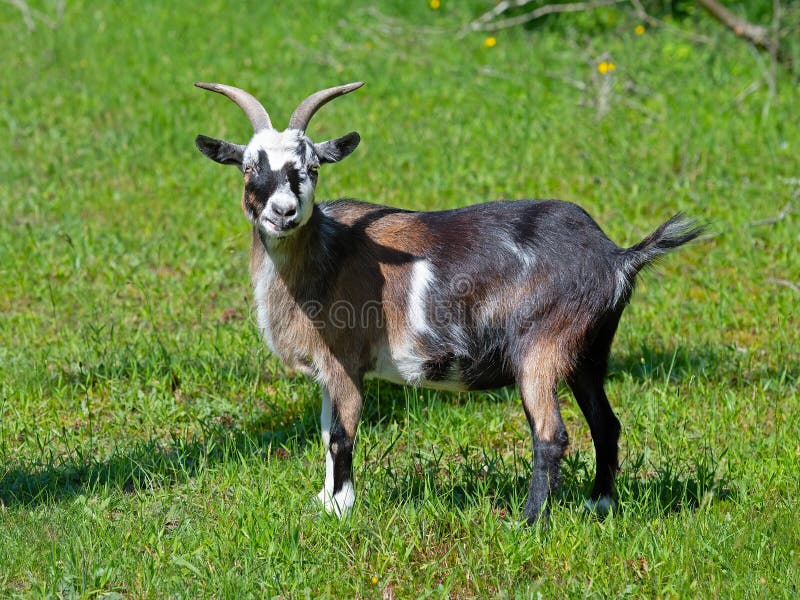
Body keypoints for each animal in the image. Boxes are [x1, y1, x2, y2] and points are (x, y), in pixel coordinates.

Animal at [194, 81, 704, 524]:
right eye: (248, 167)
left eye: (312, 168)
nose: (283, 212)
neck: (327, 255)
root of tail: (616, 257)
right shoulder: (326, 368)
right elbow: (321, 432)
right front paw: (322, 503)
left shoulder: (346, 360)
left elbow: (340, 436)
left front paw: (340, 510)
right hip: (589, 351)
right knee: (605, 423)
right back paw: (599, 505)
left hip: (542, 349)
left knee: (551, 435)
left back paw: (527, 523)